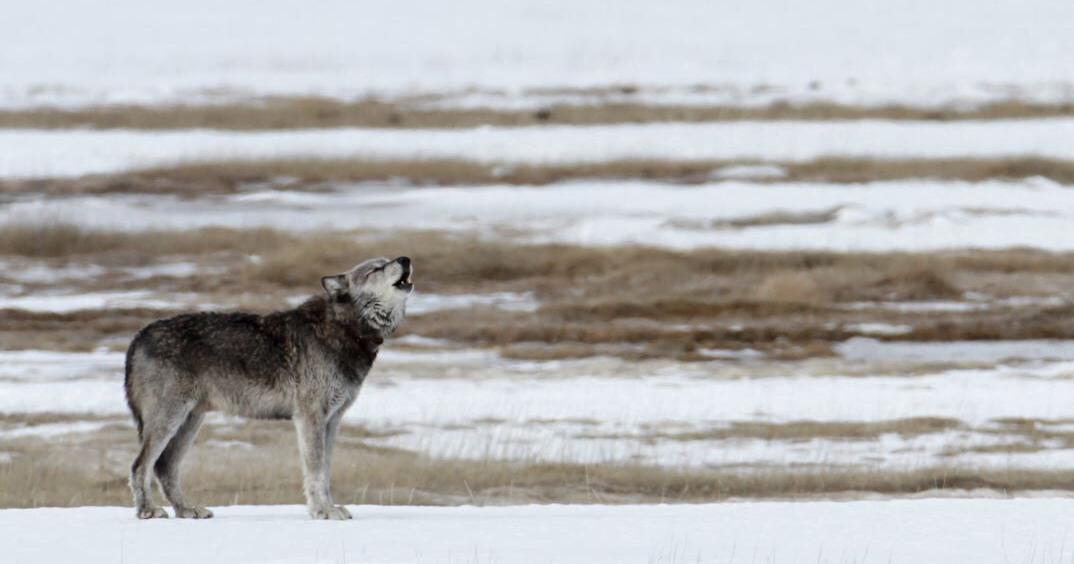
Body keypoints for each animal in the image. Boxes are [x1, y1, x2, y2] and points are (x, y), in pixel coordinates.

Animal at [124, 256, 413, 520]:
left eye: (388, 260)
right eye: (376, 268)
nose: (405, 259)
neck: (345, 328)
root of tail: (138, 336)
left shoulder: (333, 420)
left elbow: (326, 472)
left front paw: (329, 508)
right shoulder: (310, 418)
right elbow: (316, 472)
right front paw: (323, 512)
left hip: (190, 422)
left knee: (165, 467)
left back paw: (187, 510)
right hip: (169, 420)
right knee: (140, 466)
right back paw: (148, 511)